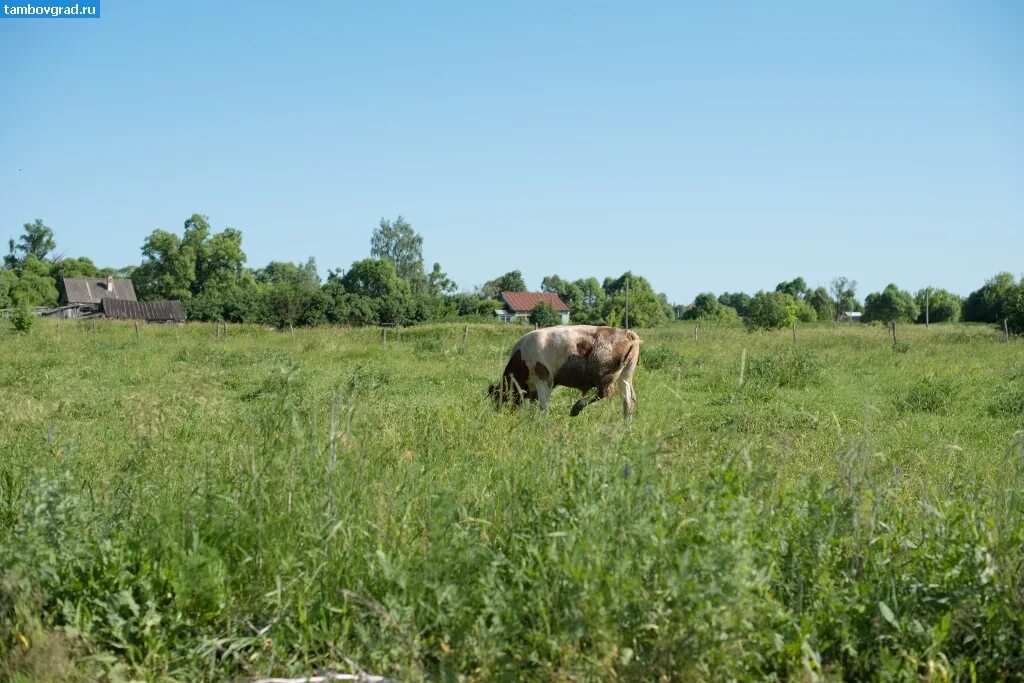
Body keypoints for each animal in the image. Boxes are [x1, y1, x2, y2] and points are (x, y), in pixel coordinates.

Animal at [487, 325, 638, 417]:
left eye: (498, 396)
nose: (497, 412)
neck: (522, 355)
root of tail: (627, 333)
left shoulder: (544, 379)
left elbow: (543, 404)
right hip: (625, 375)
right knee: (628, 400)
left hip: (603, 375)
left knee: (602, 393)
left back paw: (575, 409)